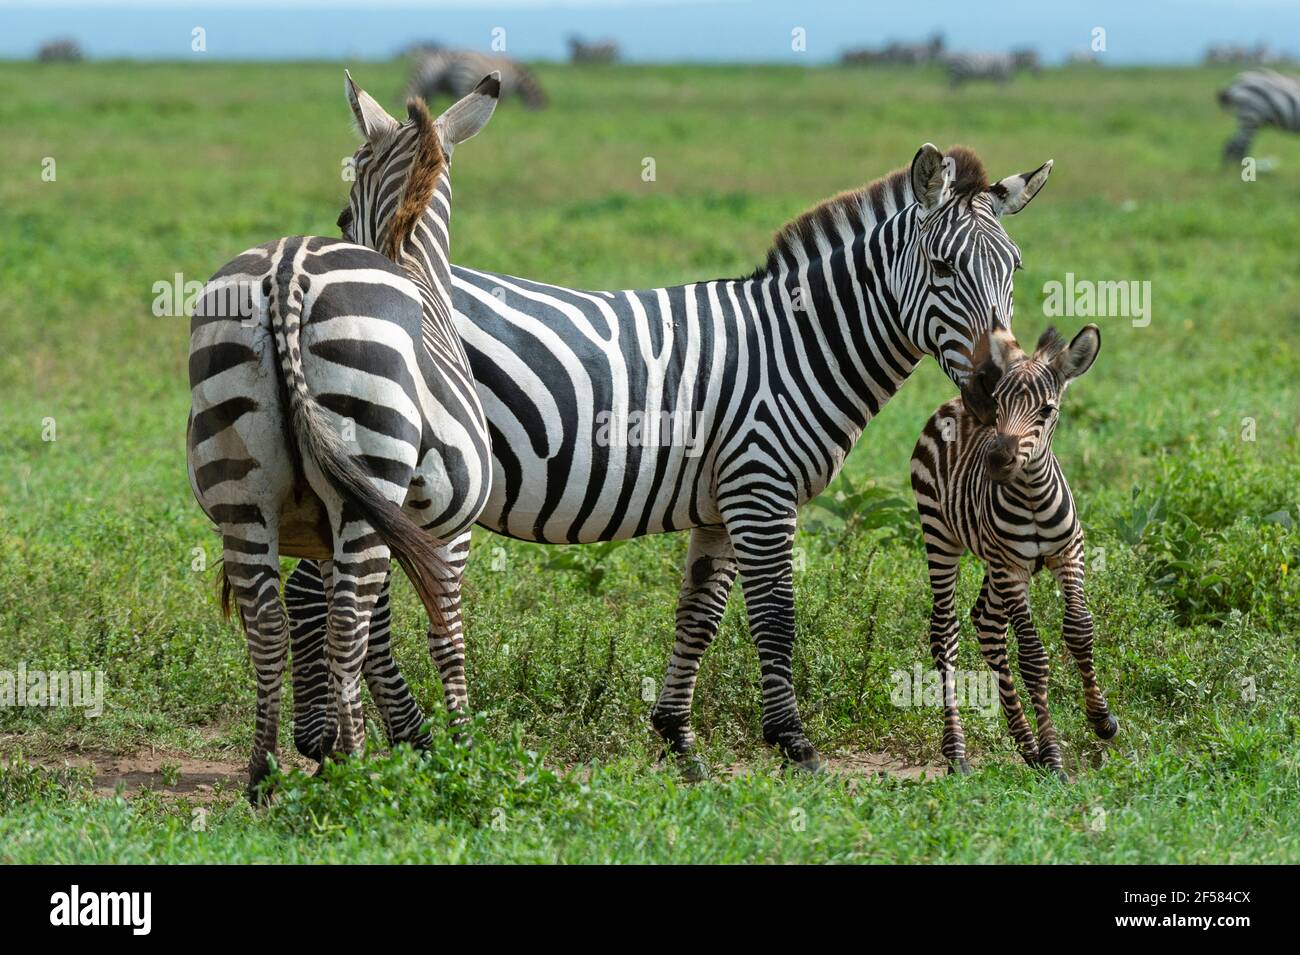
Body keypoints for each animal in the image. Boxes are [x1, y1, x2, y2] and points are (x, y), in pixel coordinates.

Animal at [186, 72, 501, 801]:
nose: (333, 224)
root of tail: (287, 268)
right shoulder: (452, 531)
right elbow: (442, 633)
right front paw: (459, 749)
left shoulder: (331, 533)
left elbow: (346, 628)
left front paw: (332, 741)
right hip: (365, 480)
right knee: (348, 631)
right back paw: (358, 774)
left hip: (243, 497)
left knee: (269, 631)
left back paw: (264, 775)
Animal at [285, 142, 1056, 776]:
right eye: (944, 267)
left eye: (1015, 269)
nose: (997, 386)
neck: (798, 343)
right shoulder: (761, 486)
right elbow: (776, 614)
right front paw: (795, 745)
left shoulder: (722, 504)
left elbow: (700, 616)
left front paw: (679, 740)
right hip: (388, 463)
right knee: (337, 596)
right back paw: (366, 742)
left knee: (312, 589)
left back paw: (330, 740)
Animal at [909, 324, 1117, 778]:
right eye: (999, 405)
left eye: (1047, 410)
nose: (998, 460)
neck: (1034, 496)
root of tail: (952, 401)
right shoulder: (1012, 569)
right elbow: (1034, 657)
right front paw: (1054, 756)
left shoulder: (1068, 553)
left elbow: (1080, 630)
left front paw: (1101, 719)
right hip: (940, 535)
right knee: (945, 632)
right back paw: (957, 753)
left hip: (992, 559)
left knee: (986, 623)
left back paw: (1025, 745)